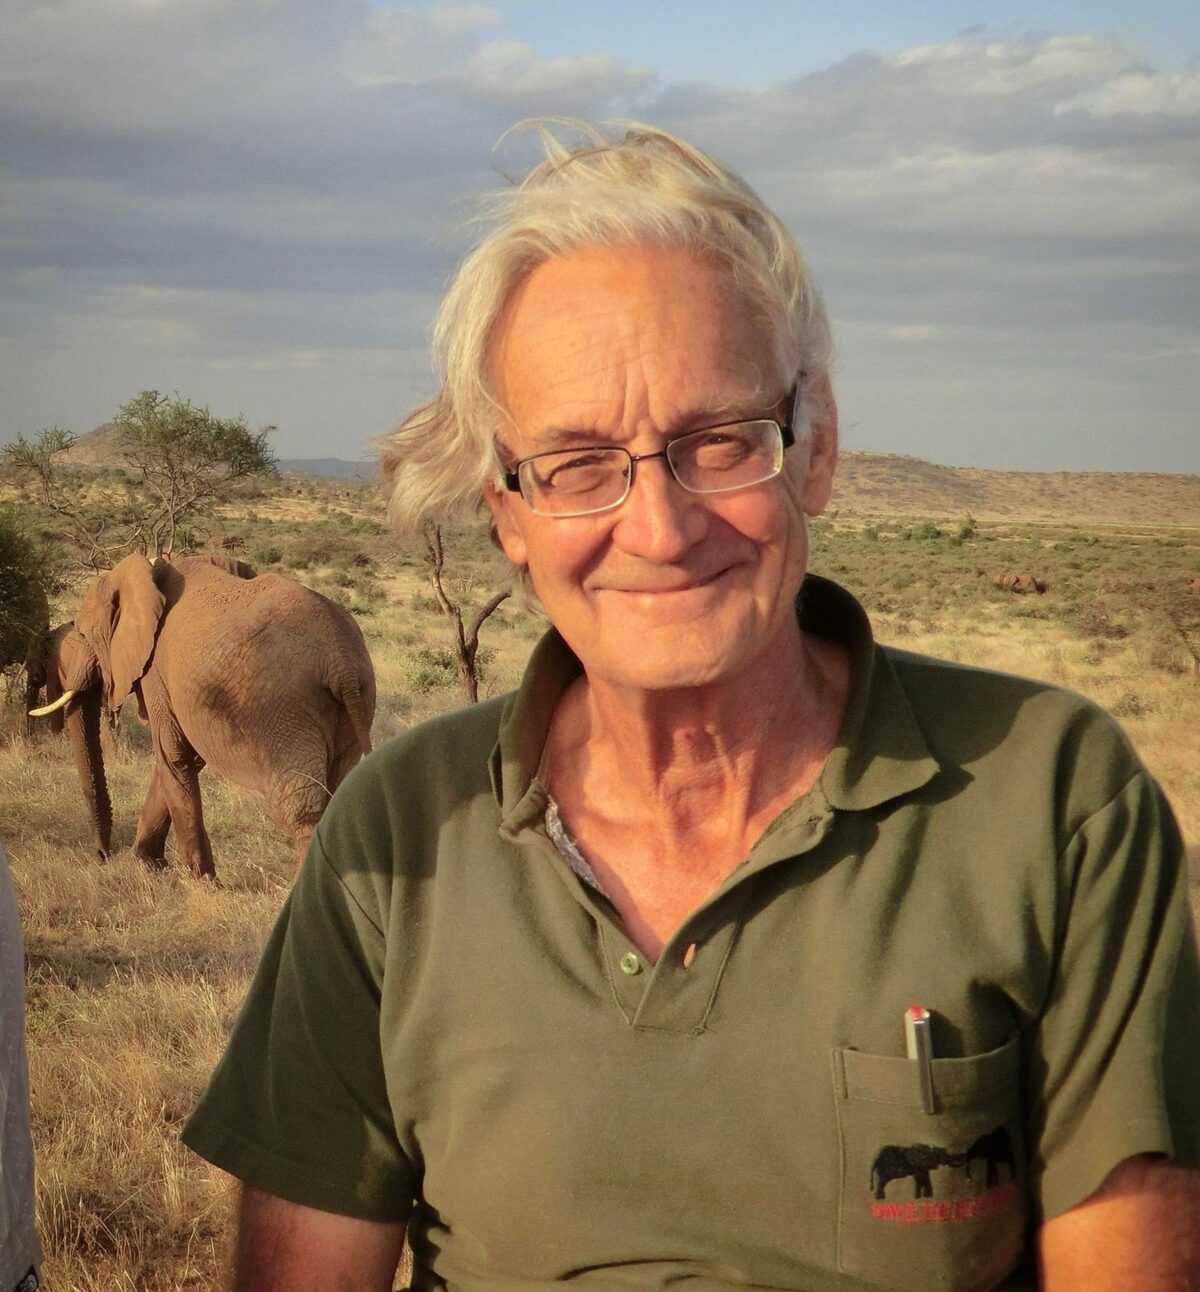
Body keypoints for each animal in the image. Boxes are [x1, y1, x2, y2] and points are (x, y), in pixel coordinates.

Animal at [31, 552, 376, 880]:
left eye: (86, 634)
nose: (102, 856)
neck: (152, 568)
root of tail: (341, 662)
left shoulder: (156, 670)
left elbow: (174, 756)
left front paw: (201, 881)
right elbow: (186, 758)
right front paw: (148, 865)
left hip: (285, 709)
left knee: (300, 810)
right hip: (352, 704)